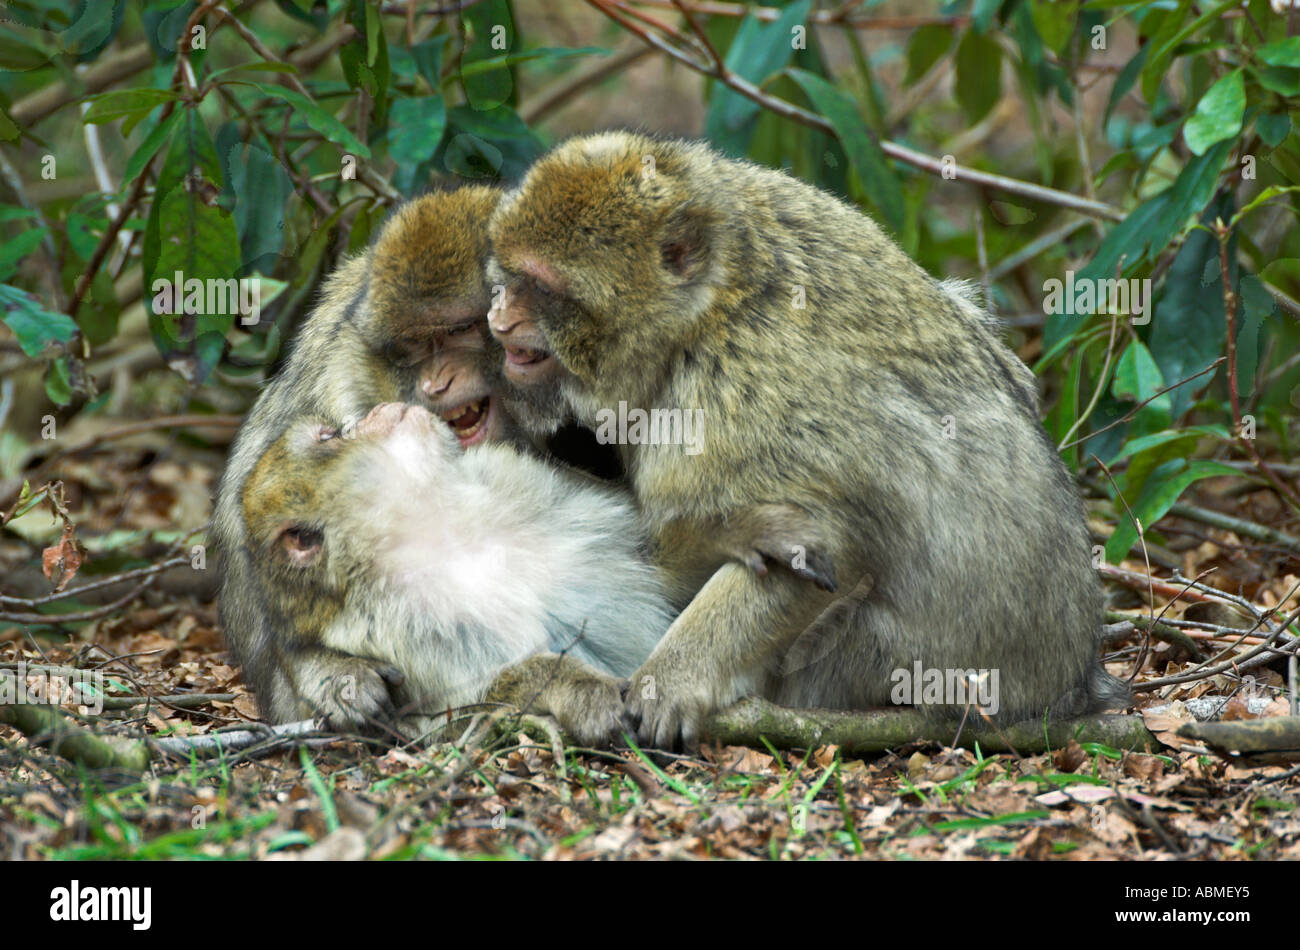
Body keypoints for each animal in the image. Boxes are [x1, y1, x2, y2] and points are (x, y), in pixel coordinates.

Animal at [485, 131, 1130, 748]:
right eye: (510, 276)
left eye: (540, 286)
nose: (499, 318)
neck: (708, 313)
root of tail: (1074, 682)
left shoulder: (738, 394)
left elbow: (826, 547)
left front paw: (672, 680)